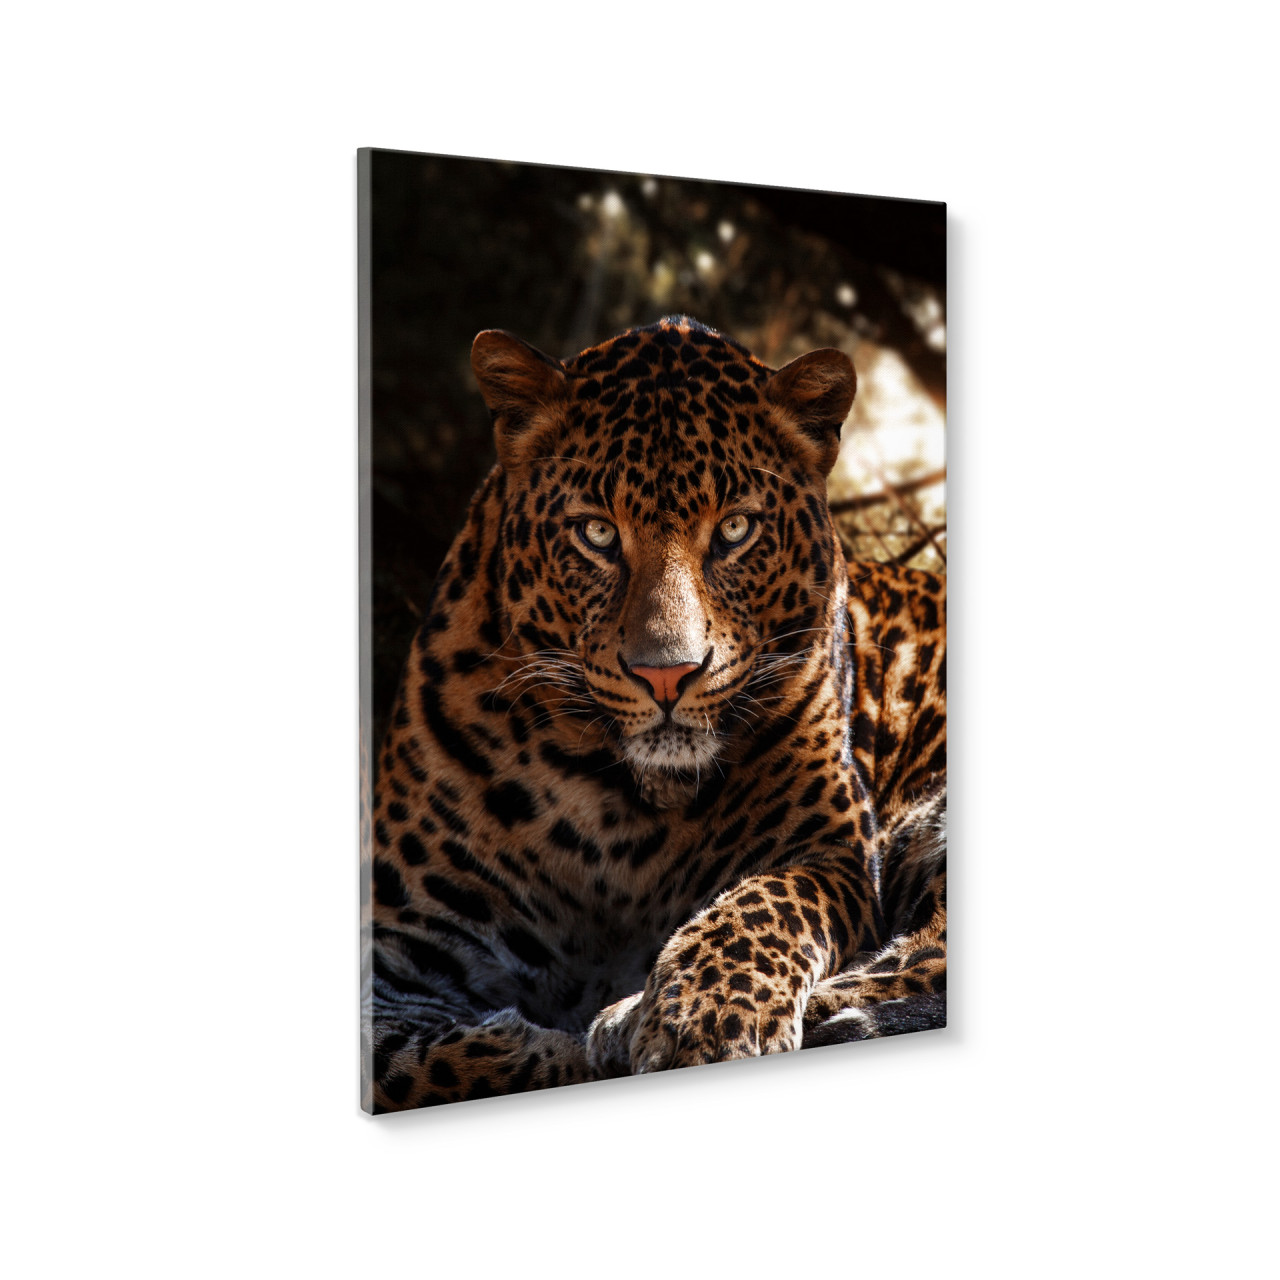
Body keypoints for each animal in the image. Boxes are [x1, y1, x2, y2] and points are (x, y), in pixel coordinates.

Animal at [362, 315, 946, 1112]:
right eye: (597, 533)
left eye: (734, 529)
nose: (667, 672)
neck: (617, 810)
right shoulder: (407, 942)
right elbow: (412, 1061)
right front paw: (576, 1048)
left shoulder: (833, 856)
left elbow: (757, 906)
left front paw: (699, 1017)